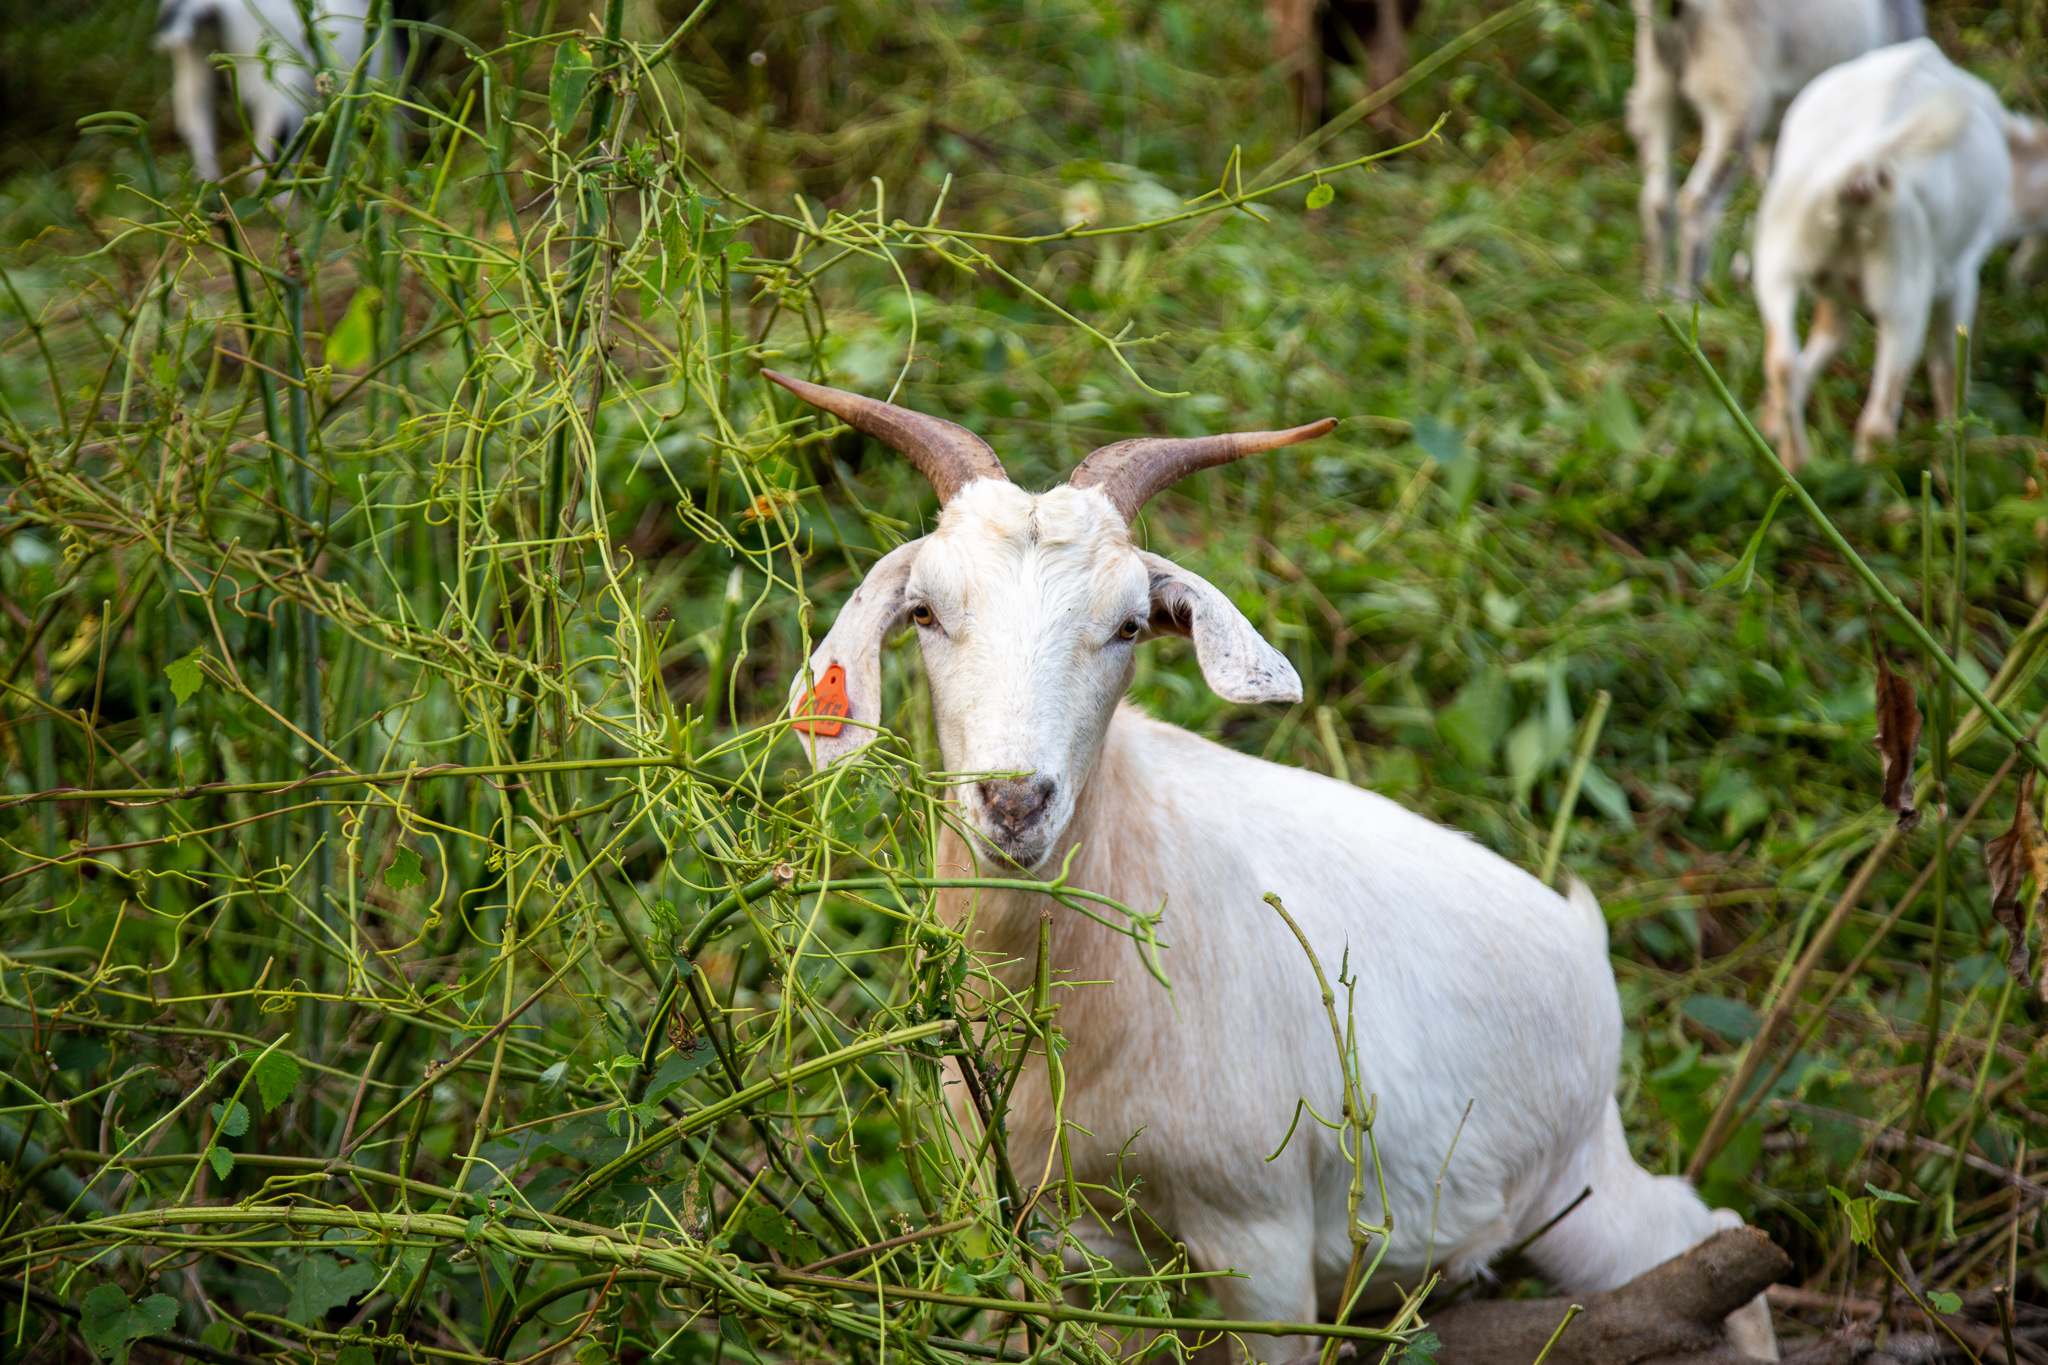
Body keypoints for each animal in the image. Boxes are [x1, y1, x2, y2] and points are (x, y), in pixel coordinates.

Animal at [768, 371, 1780, 1363]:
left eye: (1129, 624)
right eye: (926, 612)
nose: (1016, 802)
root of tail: (1584, 939)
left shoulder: (1258, 1236)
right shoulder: (1049, 1227)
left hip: (1576, 1184)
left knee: (1708, 1239)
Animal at [1627, 0, 1926, 299]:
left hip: (1656, 84)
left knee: (1657, 199)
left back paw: (1654, 291)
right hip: (1734, 98)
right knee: (1697, 203)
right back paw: (1689, 297)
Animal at [1752, 39, 2048, 469]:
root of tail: (1859, 171)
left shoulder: (1834, 288)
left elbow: (1830, 336)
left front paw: (1767, 420)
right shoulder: (1961, 274)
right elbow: (1949, 367)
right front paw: (1956, 450)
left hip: (1779, 259)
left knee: (1781, 363)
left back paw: (1796, 464)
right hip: (1903, 283)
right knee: (1877, 423)